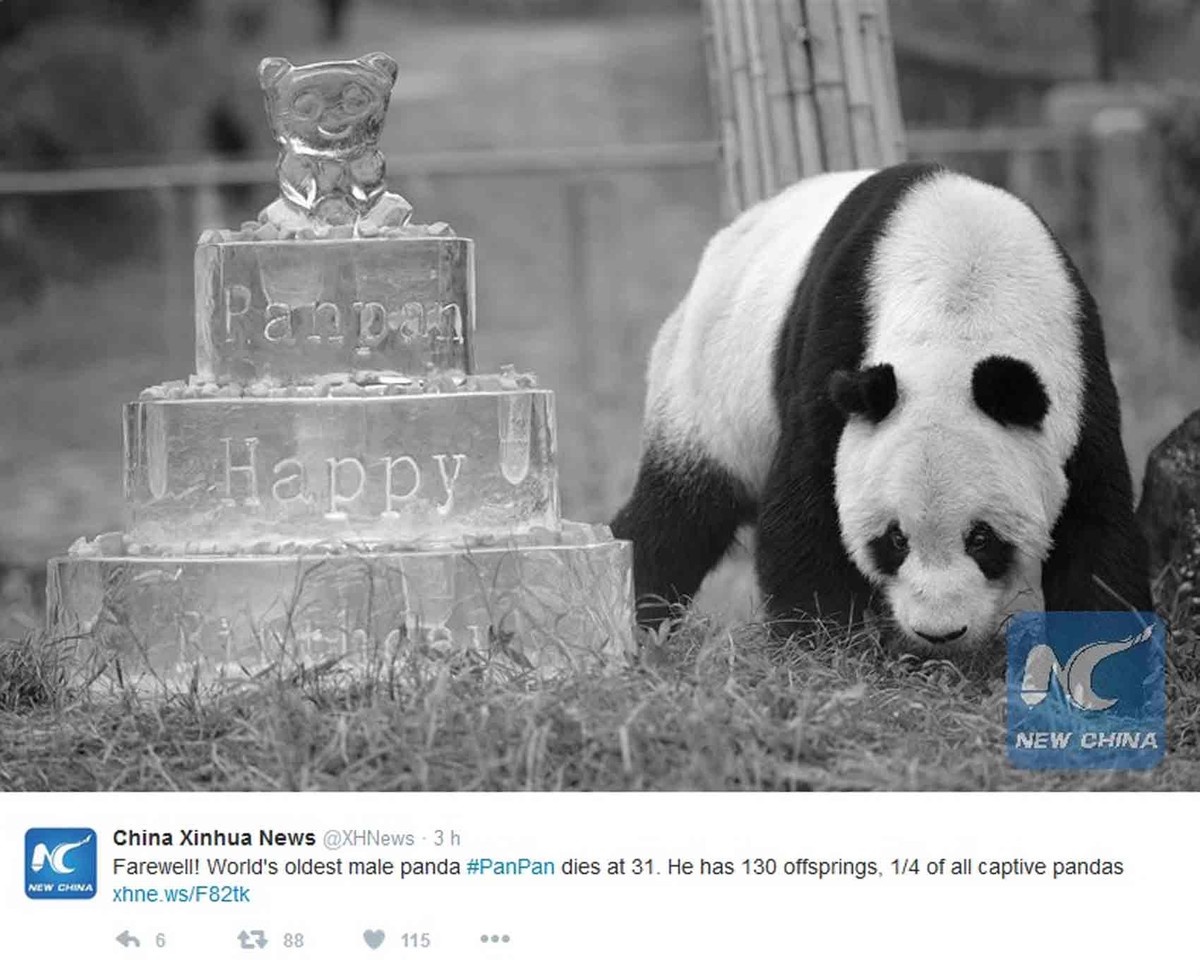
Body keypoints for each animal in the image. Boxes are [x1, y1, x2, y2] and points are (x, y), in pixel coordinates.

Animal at [611, 161, 1152, 651]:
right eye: (895, 539)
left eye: (982, 538)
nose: (939, 633)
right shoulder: (837, 344)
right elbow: (806, 507)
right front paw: (825, 650)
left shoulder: (1079, 378)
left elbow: (1097, 528)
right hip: (708, 387)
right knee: (679, 515)